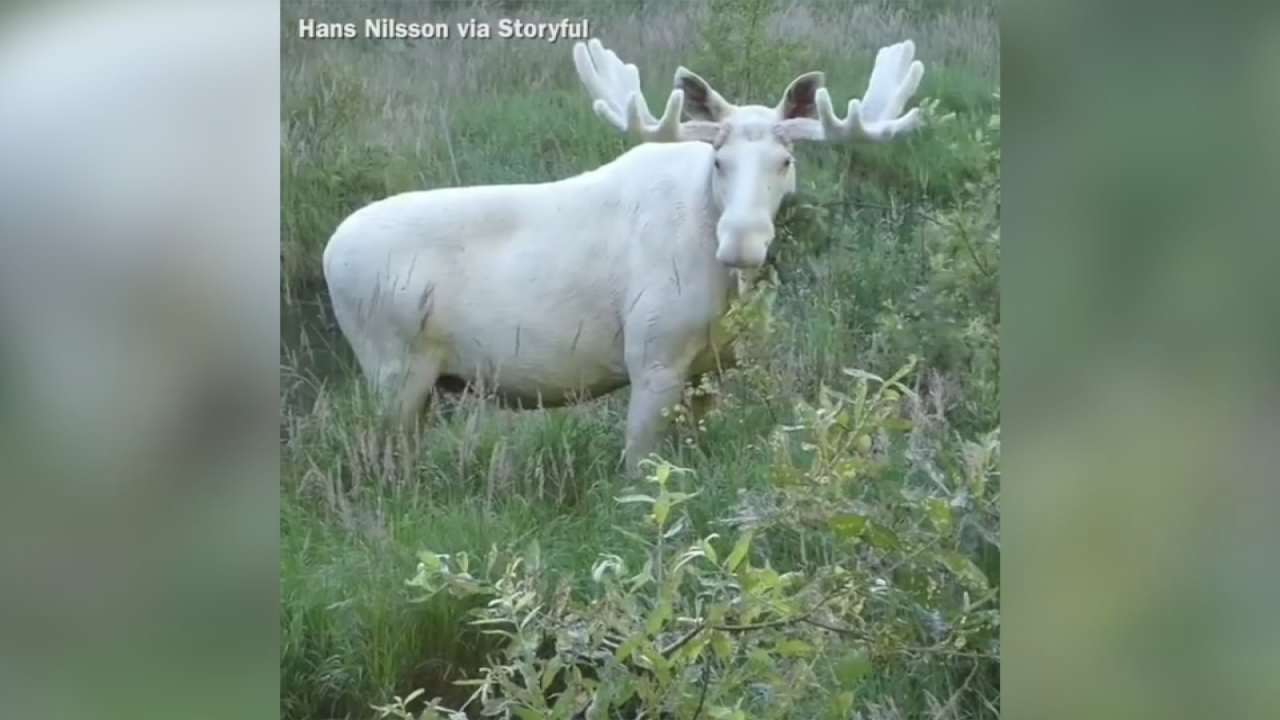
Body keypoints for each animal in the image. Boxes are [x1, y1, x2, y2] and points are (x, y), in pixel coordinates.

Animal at [322, 37, 929, 473]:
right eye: (719, 161)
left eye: (786, 160)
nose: (740, 243)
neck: (723, 289)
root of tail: (328, 253)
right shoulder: (652, 355)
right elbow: (639, 468)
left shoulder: (711, 369)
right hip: (391, 366)